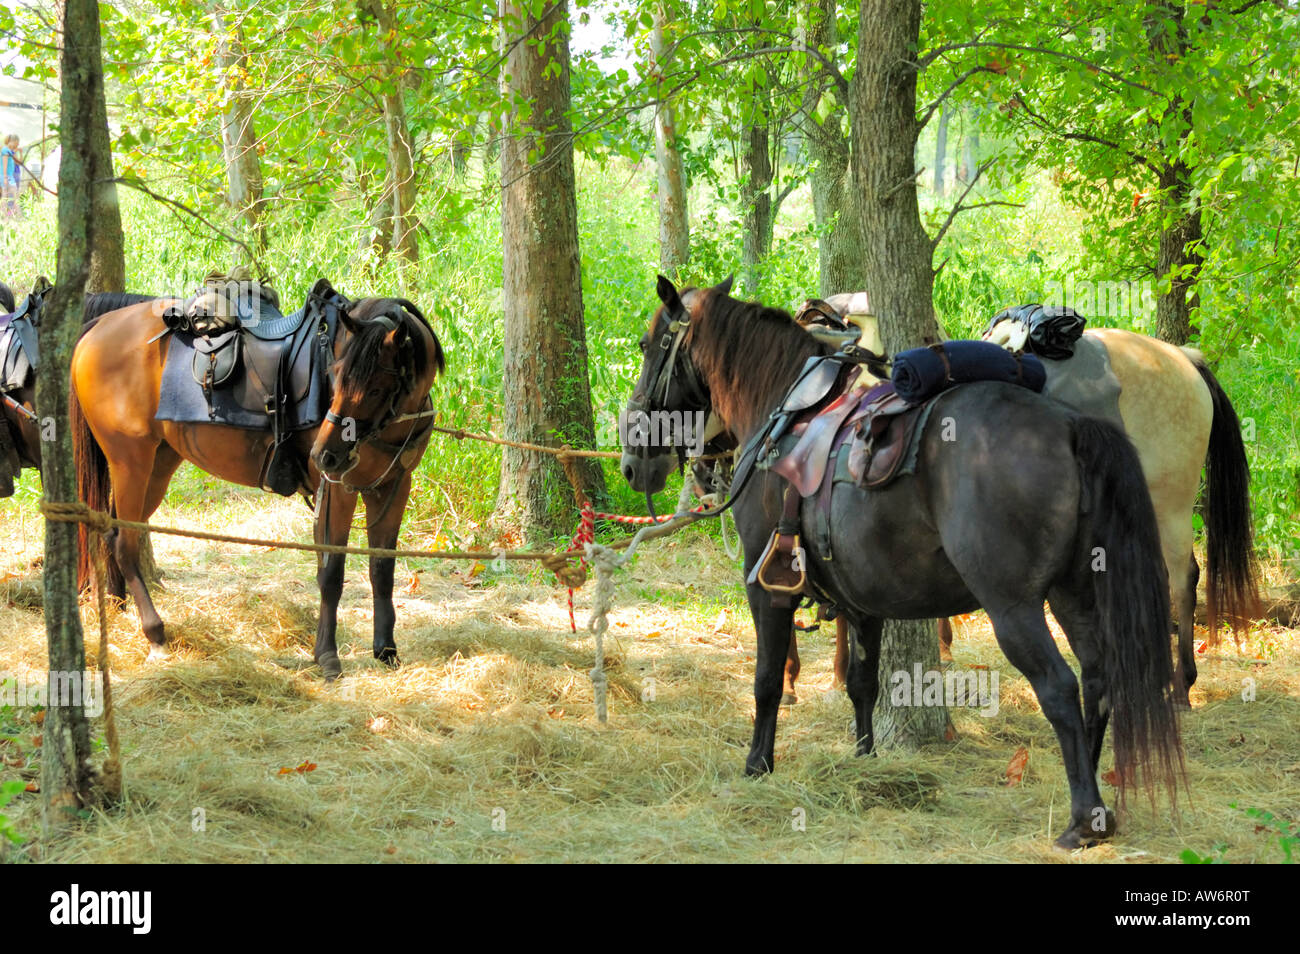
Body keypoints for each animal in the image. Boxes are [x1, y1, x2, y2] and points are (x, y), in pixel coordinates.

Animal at [70, 281, 444, 679]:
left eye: (375, 389)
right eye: (337, 376)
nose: (325, 454)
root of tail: (100, 326)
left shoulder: (391, 486)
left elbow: (382, 569)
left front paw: (386, 650)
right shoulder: (336, 490)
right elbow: (331, 573)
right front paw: (327, 656)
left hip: (157, 463)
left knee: (114, 534)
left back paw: (118, 607)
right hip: (131, 461)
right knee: (125, 544)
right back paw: (155, 633)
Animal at [622, 276, 1184, 849]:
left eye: (646, 346)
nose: (633, 461)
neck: (783, 409)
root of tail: (1069, 424)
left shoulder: (766, 590)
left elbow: (767, 680)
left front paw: (758, 764)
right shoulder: (863, 604)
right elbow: (862, 683)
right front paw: (865, 758)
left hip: (1015, 607)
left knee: (1061, 689)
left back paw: (1083, 818)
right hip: (1075, 594)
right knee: (1097, 679)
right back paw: (1097, 796)